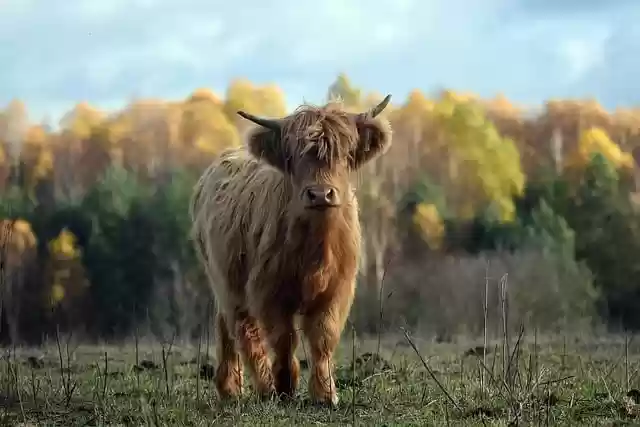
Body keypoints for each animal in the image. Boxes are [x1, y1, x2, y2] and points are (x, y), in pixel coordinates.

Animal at [190, 95, 393, 406]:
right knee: (243, 329)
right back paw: (258, 387)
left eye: (343, 154)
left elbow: (322, 338)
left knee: (226, 323)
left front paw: (325, 394)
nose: (320, 194)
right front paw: (285, 387)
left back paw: (230, 388)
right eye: (295, 157)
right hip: (226, 279)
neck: (317, 247)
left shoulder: (338, 290)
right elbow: (283, 339)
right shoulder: (268, 290)